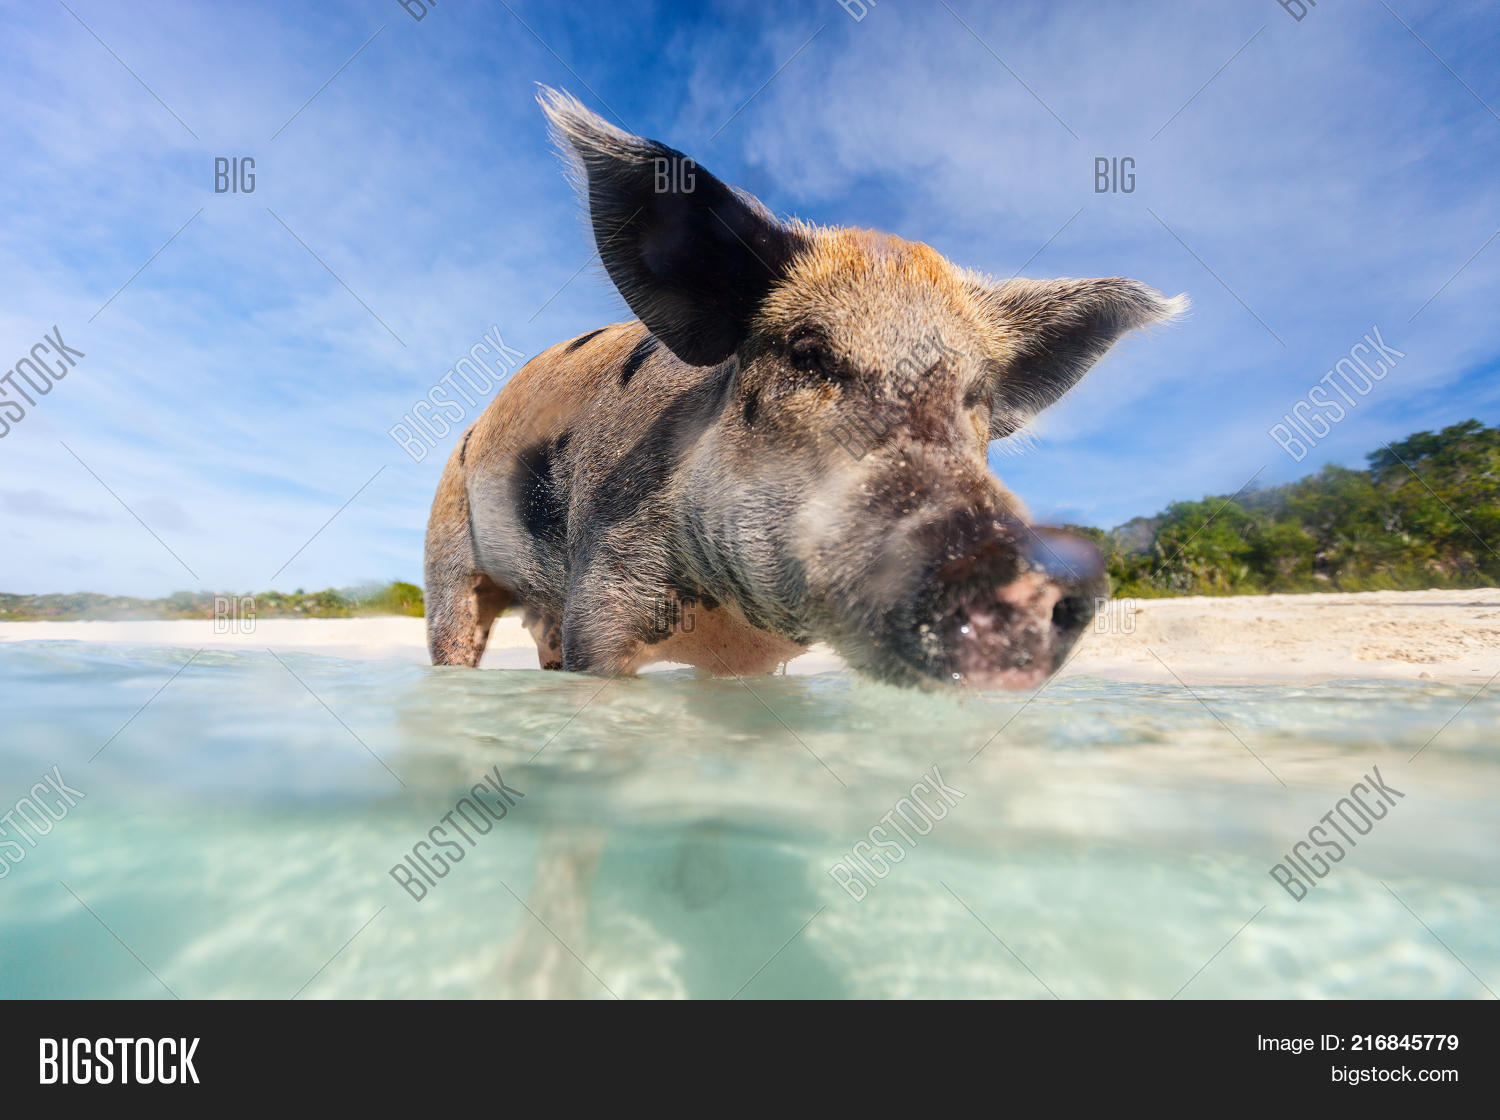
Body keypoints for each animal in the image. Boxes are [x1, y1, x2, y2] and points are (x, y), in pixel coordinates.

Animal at [424, 88, 1186, 689]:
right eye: (808, 355)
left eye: (978, 398)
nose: (1045, 567)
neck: (732, 626)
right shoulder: (604, 591)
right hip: (447, 553)